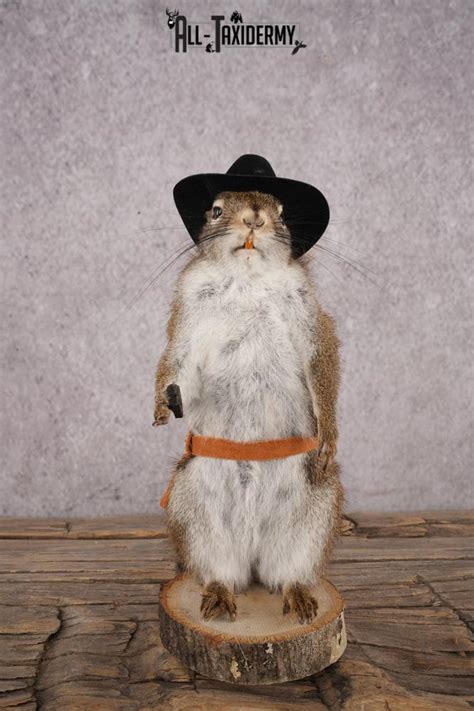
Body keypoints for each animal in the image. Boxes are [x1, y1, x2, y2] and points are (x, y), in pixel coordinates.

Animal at [154, 190, 344, 624]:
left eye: (283, 214)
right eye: (216, 210)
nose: (254, 220)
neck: (247, 279)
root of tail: (253, 556)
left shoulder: (310, 316)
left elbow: (322, 366)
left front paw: (329, 433)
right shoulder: (188, 316)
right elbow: (179, 363)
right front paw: (166, 400)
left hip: (312, 518)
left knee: (288, 571)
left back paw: (299, 596)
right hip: (194, 513)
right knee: (219, 569)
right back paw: (220, 594)